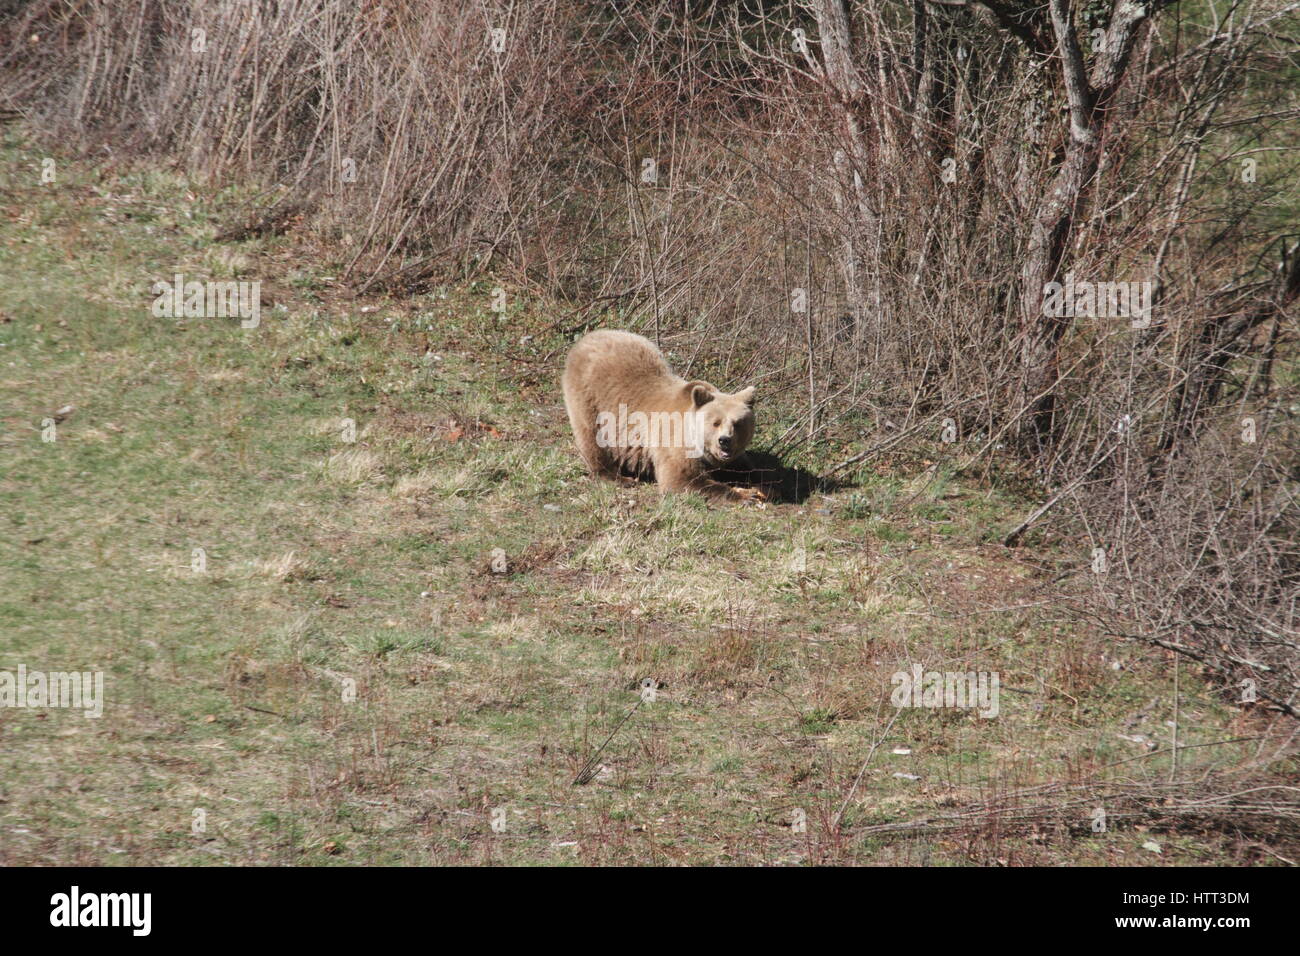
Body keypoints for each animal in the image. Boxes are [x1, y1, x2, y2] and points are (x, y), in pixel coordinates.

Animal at [561, 329, 764, 503]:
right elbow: (682, 479)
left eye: (737, 423)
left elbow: (747, 466)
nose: (724, 440)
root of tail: (587, 338)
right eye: (715, 422)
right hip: (590, 398)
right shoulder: (674, 441)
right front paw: (746, 496)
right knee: (593, 438)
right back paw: (617, 477)